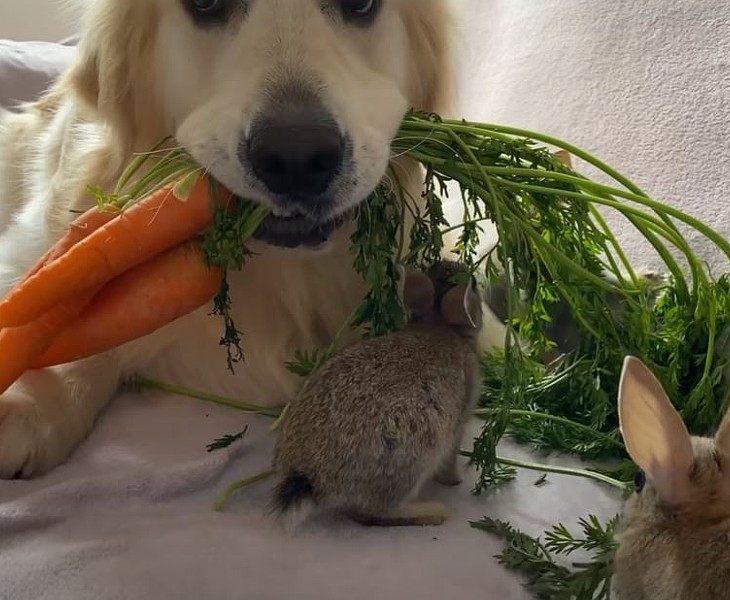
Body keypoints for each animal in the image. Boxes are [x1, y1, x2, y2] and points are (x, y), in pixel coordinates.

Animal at [270, 259, 483, 528]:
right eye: (474, 284)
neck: (438, 324)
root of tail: (308, 475)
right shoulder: (459, 422)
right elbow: (451, 458)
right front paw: (454, 481)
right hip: (408, 461)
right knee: (374, 513)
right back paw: (434, 512)